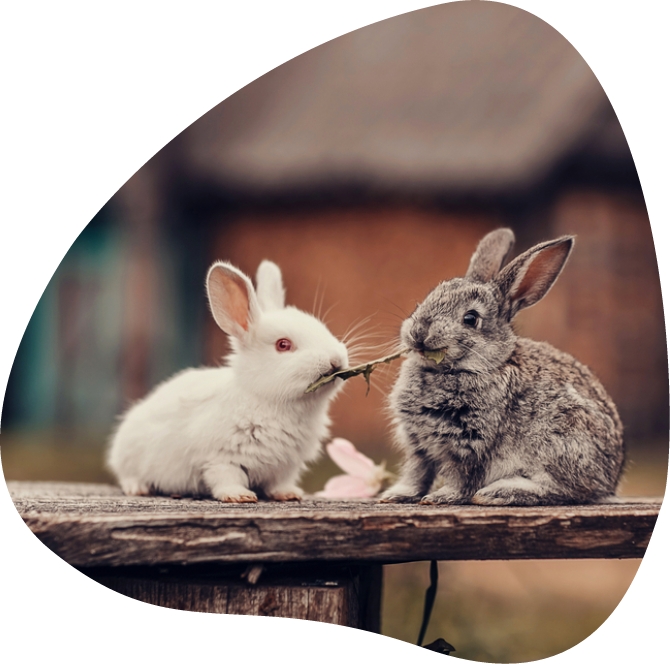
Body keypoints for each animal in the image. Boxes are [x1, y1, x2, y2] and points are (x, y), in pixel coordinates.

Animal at [107, 259, 349, 503]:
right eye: (283, 345)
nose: (336, 360)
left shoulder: (286, 466)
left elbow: (279, 483)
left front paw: (289, 494)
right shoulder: (220, 458)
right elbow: (226, 478)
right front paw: (239, 496)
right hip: (130, 456)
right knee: (128, 475)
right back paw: (139, 488)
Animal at [381, 228, 624, 506]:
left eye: (470, 319)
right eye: (424, 301)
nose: (419, 332)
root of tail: (609, 481)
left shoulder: (469, 445)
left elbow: (459, 478)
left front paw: (441, 497)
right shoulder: (418, 446)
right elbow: (417, 474)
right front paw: (396, 495)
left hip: (561, 441)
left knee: (566, 491)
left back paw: (498, 492)